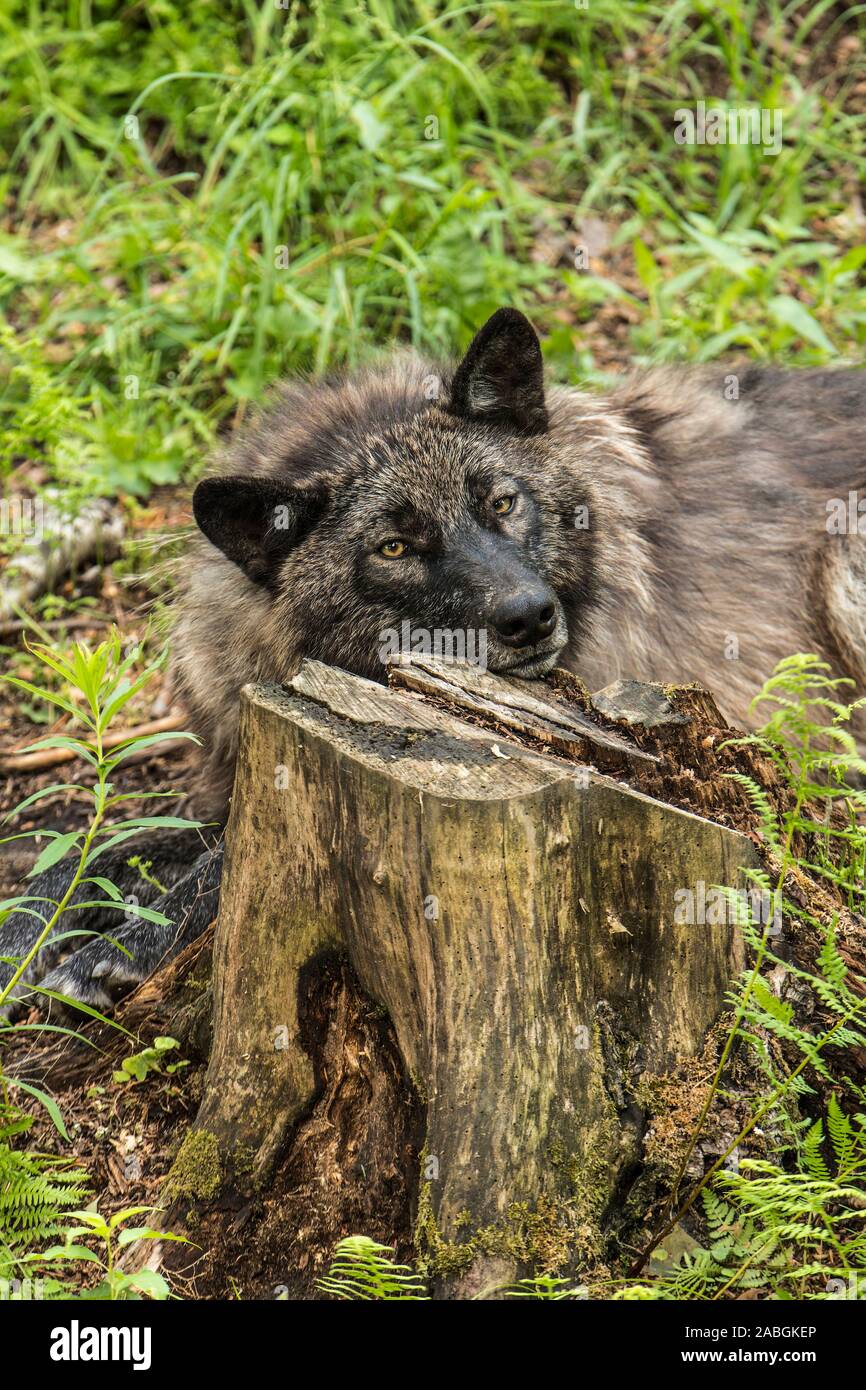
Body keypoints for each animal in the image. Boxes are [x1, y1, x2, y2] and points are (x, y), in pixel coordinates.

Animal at [5, 307, 866, 1010]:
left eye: (503, 502)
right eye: (393, 548)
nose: (529, 617)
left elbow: (225, 865)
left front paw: (124, 941)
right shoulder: (231, 768)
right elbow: (114, 834)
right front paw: (29, 920)